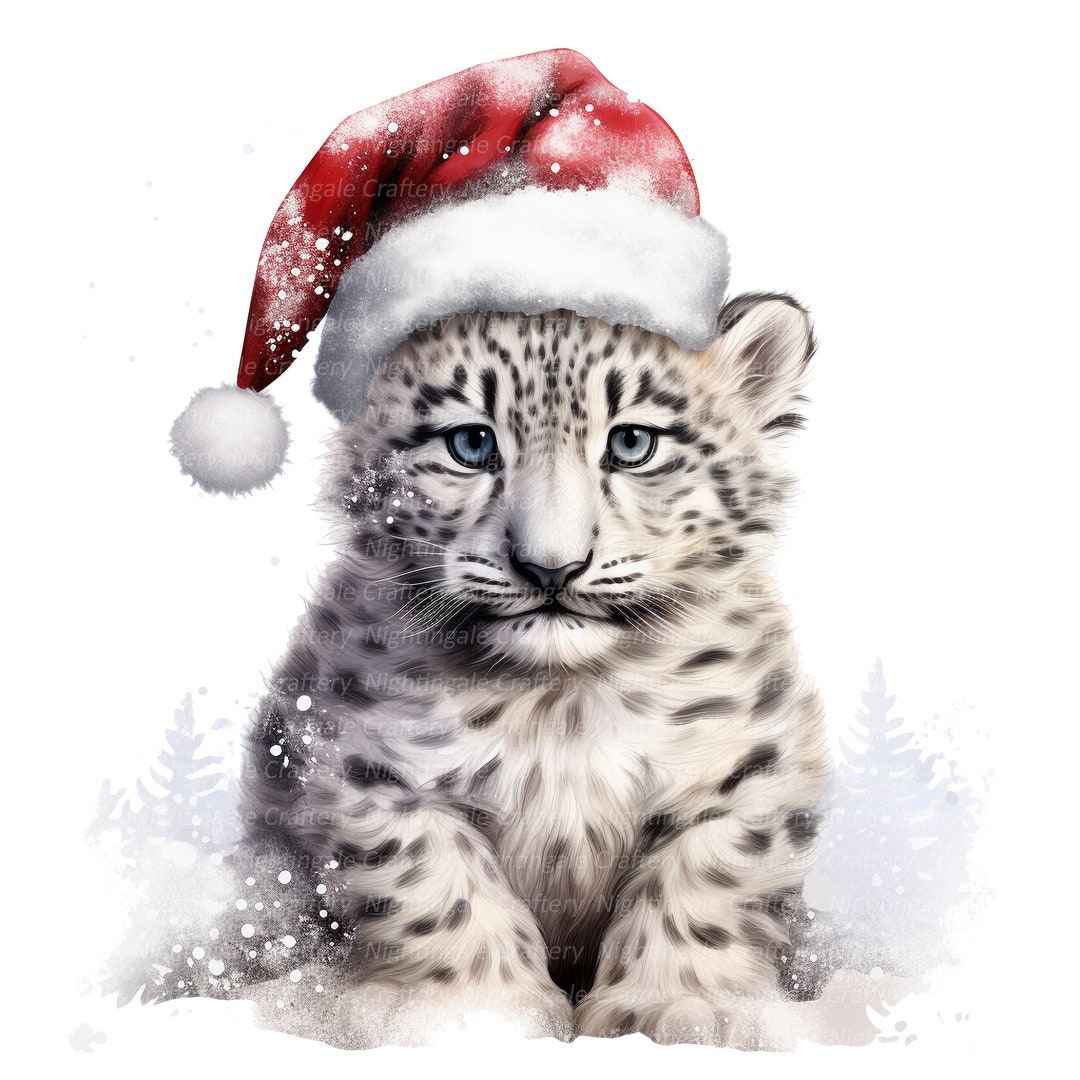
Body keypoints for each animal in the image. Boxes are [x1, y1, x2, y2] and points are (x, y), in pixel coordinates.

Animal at [240, 293, 831, 1048]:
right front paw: (473, 1012)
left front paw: (677, 1007)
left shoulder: (747, 770)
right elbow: (433, 878)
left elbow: (702, 880)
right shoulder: (362, 765)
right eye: (471, 443)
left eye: (633, 444)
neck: (562, 704)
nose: (551, 566)